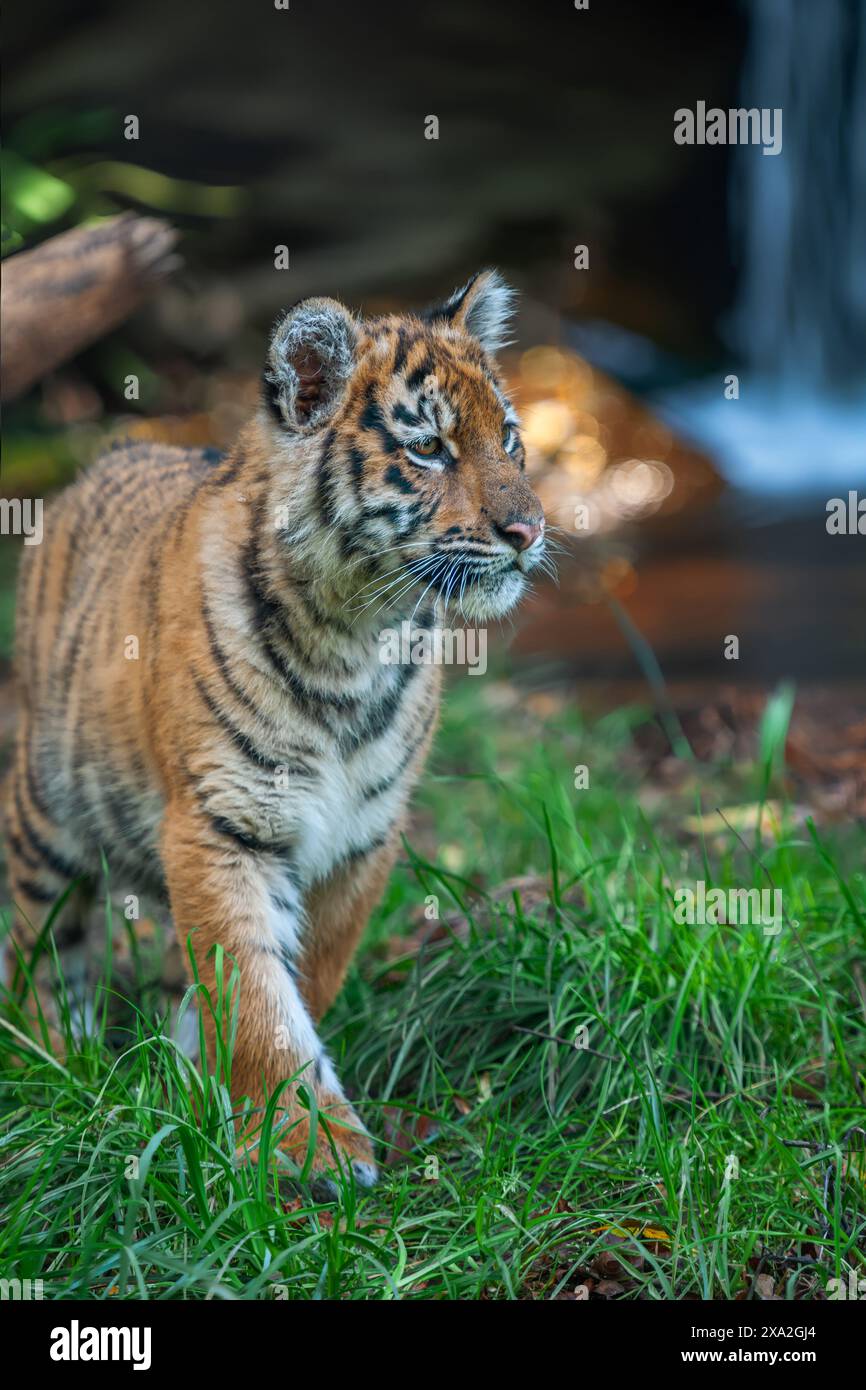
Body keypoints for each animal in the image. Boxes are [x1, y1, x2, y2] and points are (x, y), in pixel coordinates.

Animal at [3, 269, 546, 1187]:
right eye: (430, 449)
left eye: (507, 438)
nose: (529, 532)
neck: (357, 636)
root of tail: (103, 460)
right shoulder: (221, 824)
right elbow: (255, 994)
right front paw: (307, 1144)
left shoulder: (363, 835)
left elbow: (300, 979)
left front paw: (225, 1091)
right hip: (45, 813)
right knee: (38, 951)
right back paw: (56, 1064)